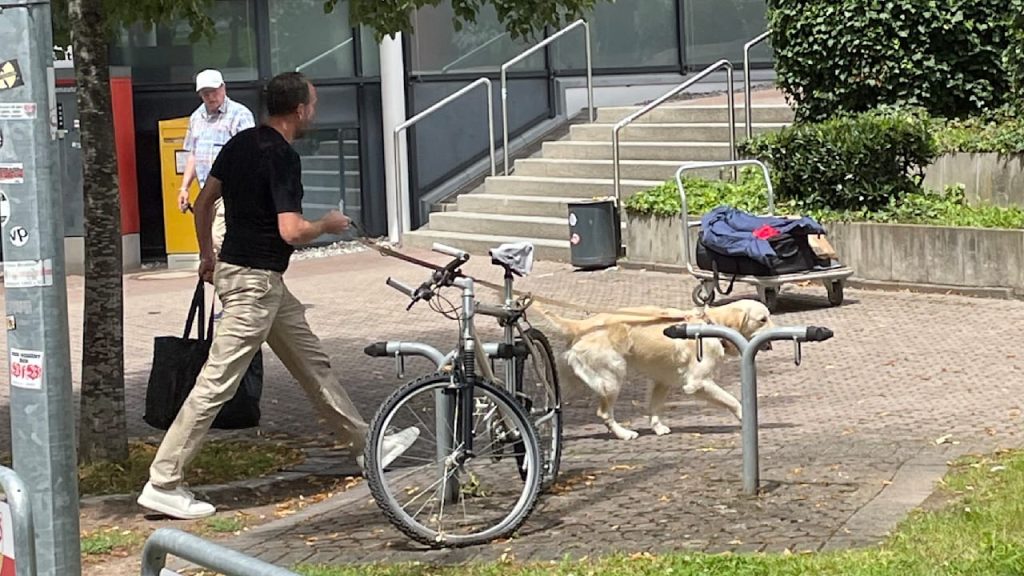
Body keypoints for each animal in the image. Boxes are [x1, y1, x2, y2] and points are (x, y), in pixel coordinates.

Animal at [540, 297, 770, 436]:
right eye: (762, 319)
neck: (711, 324)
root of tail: (581, 325)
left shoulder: (663, 379)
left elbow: (654, 406)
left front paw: (657, 427)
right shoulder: (698, 383)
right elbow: (734, 401)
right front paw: (746, 417)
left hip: (569, 382)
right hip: (613, 376)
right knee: (604, 413)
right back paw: (624, 434)